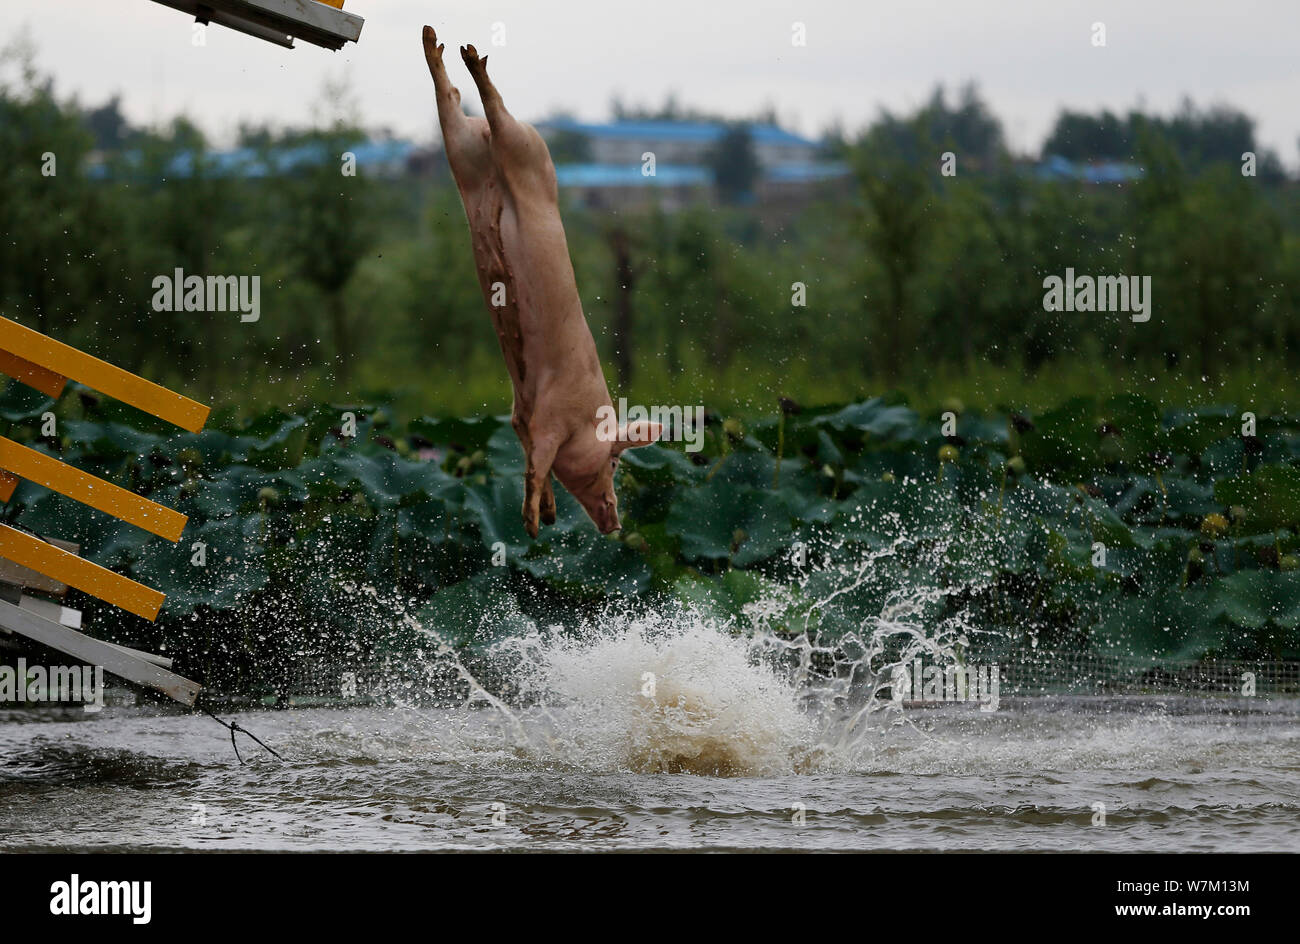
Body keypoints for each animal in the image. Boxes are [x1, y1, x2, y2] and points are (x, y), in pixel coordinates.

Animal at [421, 27, 662, 537]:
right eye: (615, 462)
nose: (615, 524)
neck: (584, 416)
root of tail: (489, 145)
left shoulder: (522, 417)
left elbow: (536, 459)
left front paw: (546, 517)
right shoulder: (552, 417)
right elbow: (539, 462)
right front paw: (533, 525)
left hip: (464, 152)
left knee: (450, 102)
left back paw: (438, 42)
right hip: (525, 146)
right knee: (496, 108)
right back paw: (472, 55)